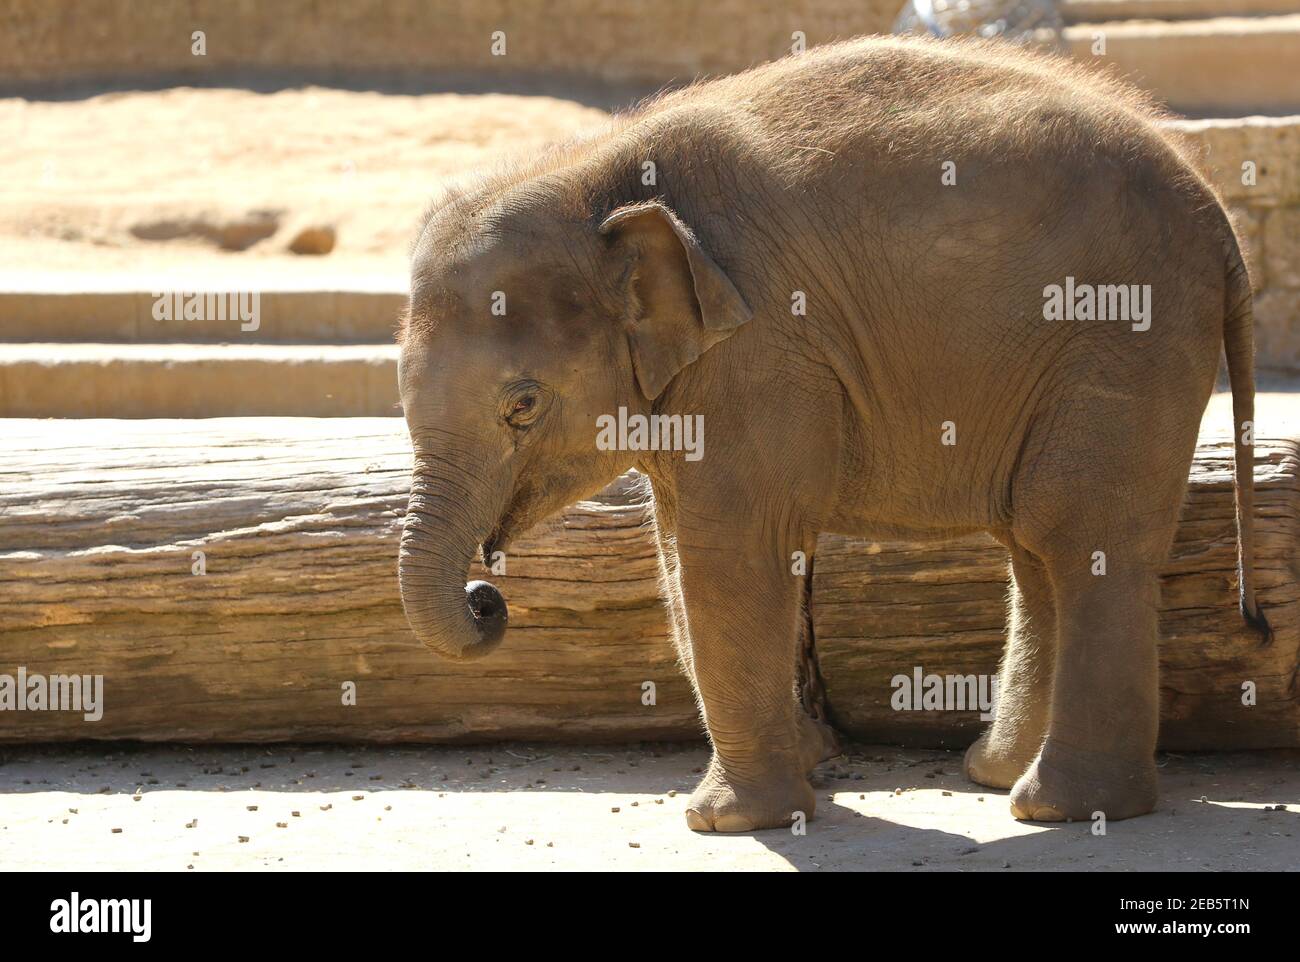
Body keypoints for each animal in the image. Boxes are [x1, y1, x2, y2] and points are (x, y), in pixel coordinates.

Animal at [396, 35, 1269, 832]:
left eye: (522, 405)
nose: (486, 599)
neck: (594, 172)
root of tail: (1220, 217)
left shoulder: (766, 348)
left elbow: (731, 546)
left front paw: (730, 822)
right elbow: (680, 553)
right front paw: (806, 765)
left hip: (1124, 336)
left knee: (1079, 532)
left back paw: (1060, 808)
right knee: (1036, 545)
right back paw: (996, 776)